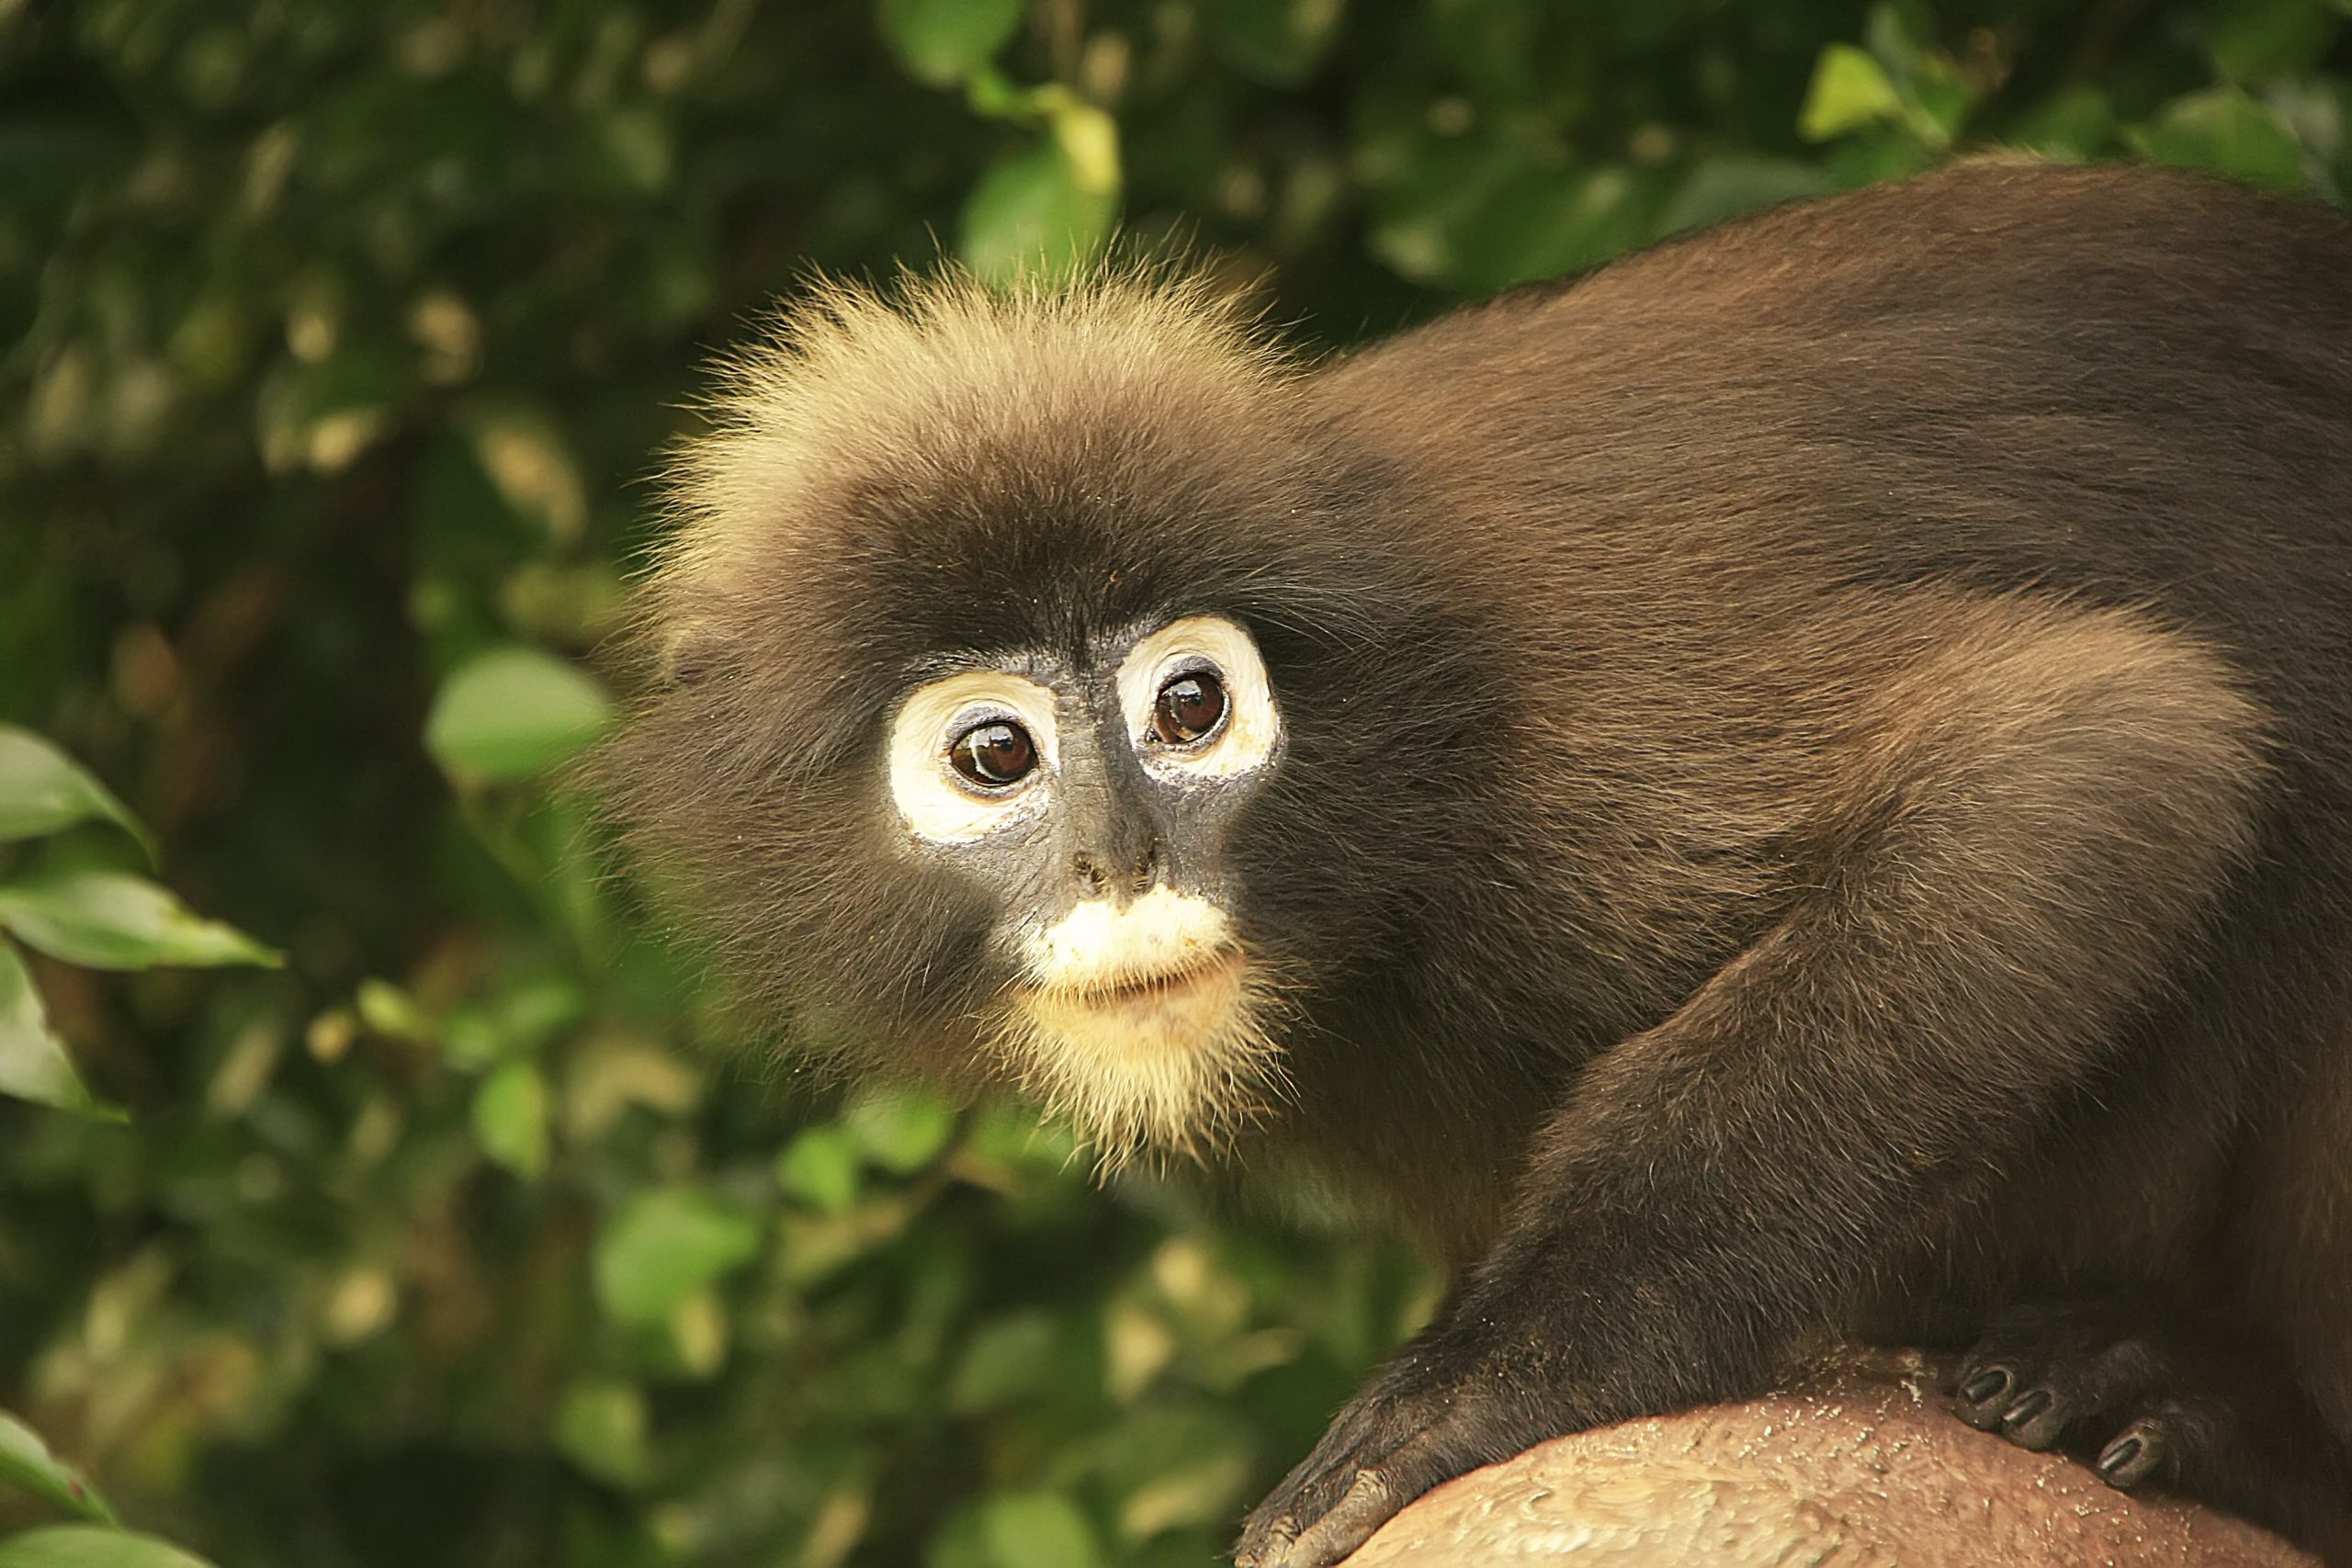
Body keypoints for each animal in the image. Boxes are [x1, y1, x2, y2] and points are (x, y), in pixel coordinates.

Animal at [597, 160, 2352, 1565]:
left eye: (1189, 705)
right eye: (992, 755)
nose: (1122, 862)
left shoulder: (1568, 746)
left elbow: (2098, 750)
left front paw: (1489, 1377)